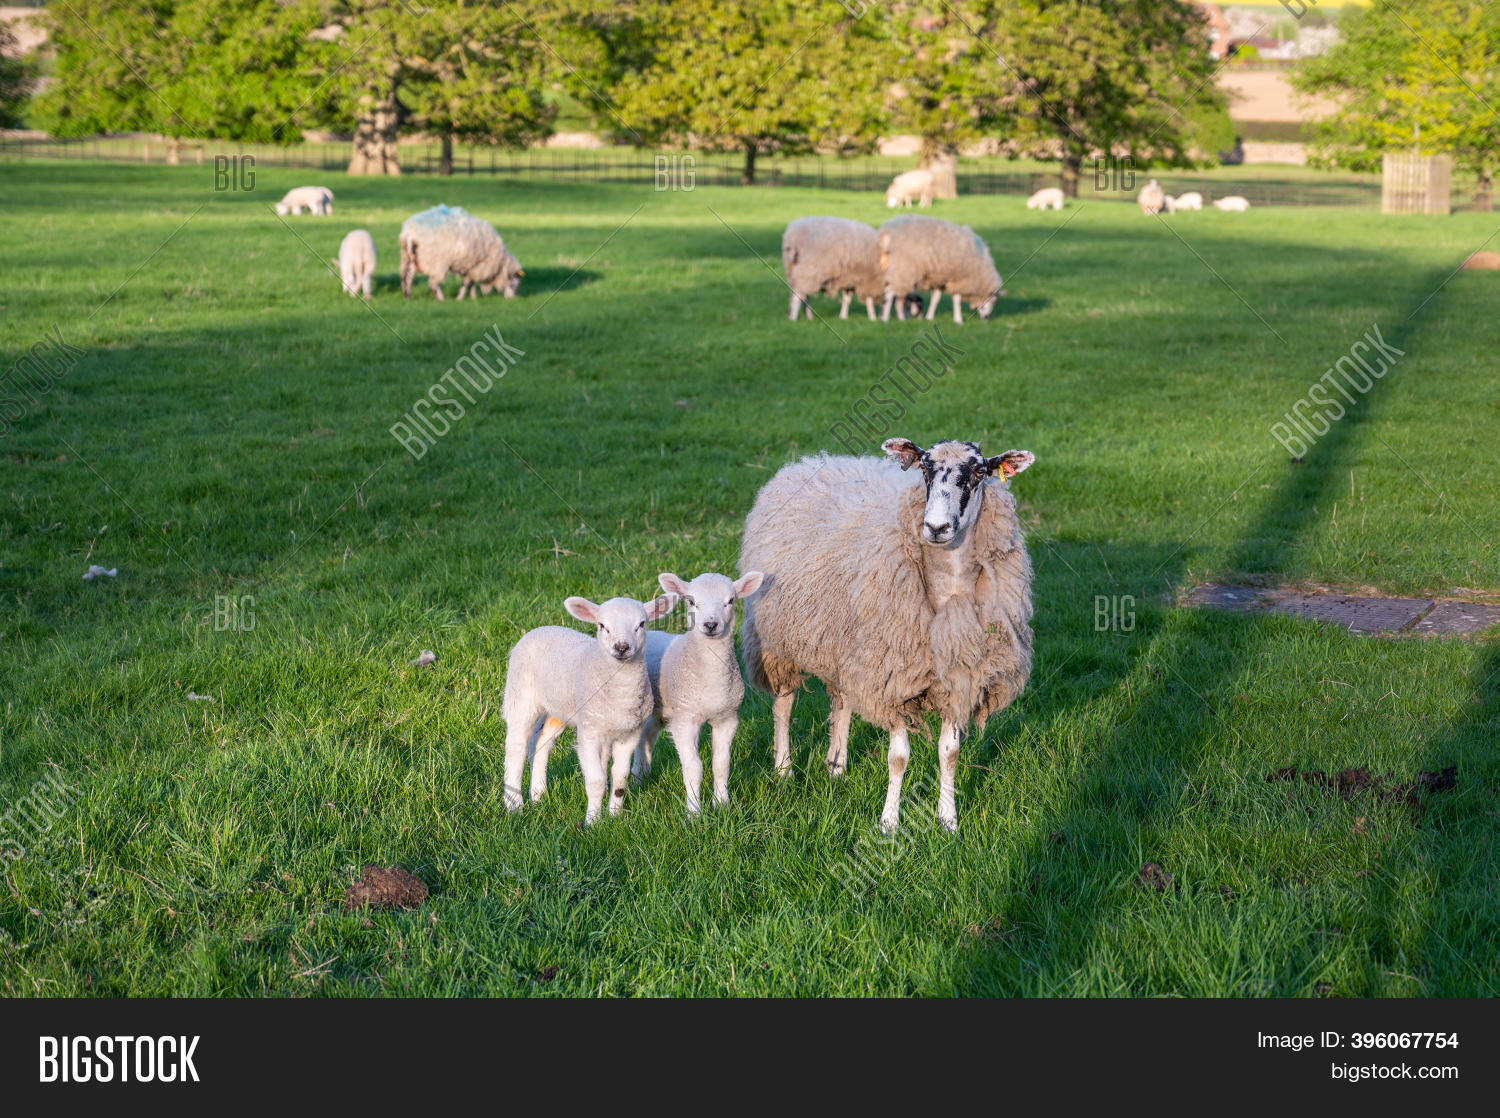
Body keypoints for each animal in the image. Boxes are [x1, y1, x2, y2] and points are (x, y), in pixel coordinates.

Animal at [502, 592, 677, 825]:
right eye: (602, 625)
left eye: (641, 624)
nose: (621, 647)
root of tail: (540, 628)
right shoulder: (589, 733)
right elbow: (596, 781)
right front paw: (592, 822)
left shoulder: (629, 734)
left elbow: (620, 777)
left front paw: (614, 817)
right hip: (521, 694)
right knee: (516, 747)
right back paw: (514, 806)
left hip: (559, 707)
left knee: (540, 742)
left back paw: (538, 795)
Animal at [634, 570, 764, 814]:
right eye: (691, 602)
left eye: (730, 601)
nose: (710, 624)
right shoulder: (686, 720)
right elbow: (694, 768)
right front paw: (693, 812)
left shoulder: (727, 718)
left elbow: (721, 764)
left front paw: (721, 804)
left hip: (662, 709)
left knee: (647, 734)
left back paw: (641, 776)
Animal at [739, 437, 1036, 834]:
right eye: (924, 468)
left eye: (978, 473)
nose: (936, 527)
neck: (948, 595)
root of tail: (812, 462)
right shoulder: (893, 678)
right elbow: (898, 757)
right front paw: (889, 823)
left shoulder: (958, 676)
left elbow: (951, 754)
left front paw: (948, 820)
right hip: (778, 640)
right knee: (783, 704)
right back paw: (784, 771)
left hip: (844, 642)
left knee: (842, 700)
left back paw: (835, 766)